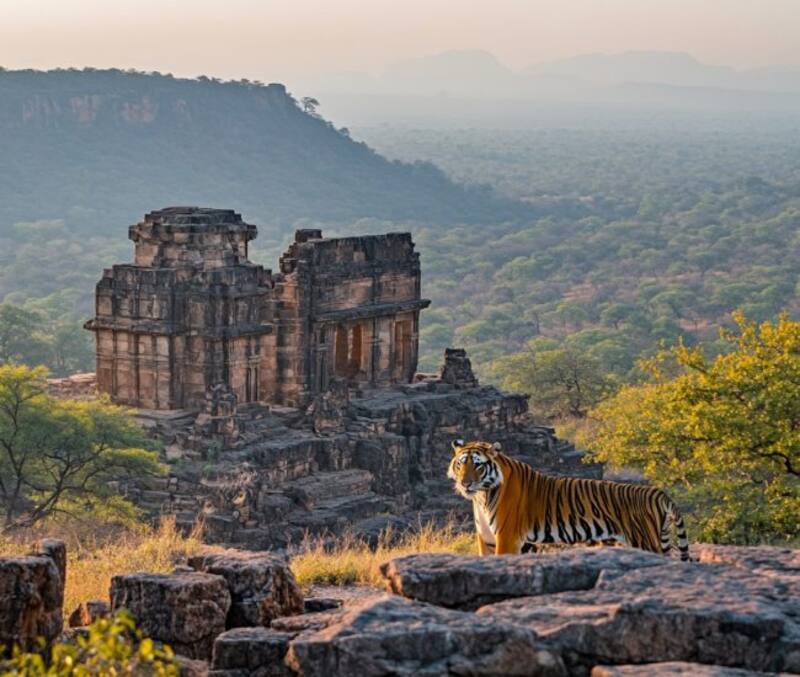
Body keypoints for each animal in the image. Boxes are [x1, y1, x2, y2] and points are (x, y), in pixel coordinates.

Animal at [447, 439, 690, 560]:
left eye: (477, 465)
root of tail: (656, 493)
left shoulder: (507, 537)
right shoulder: (486, 538)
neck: (481, 496)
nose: (465, 483)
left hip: (645, 541)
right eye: (460, 464)